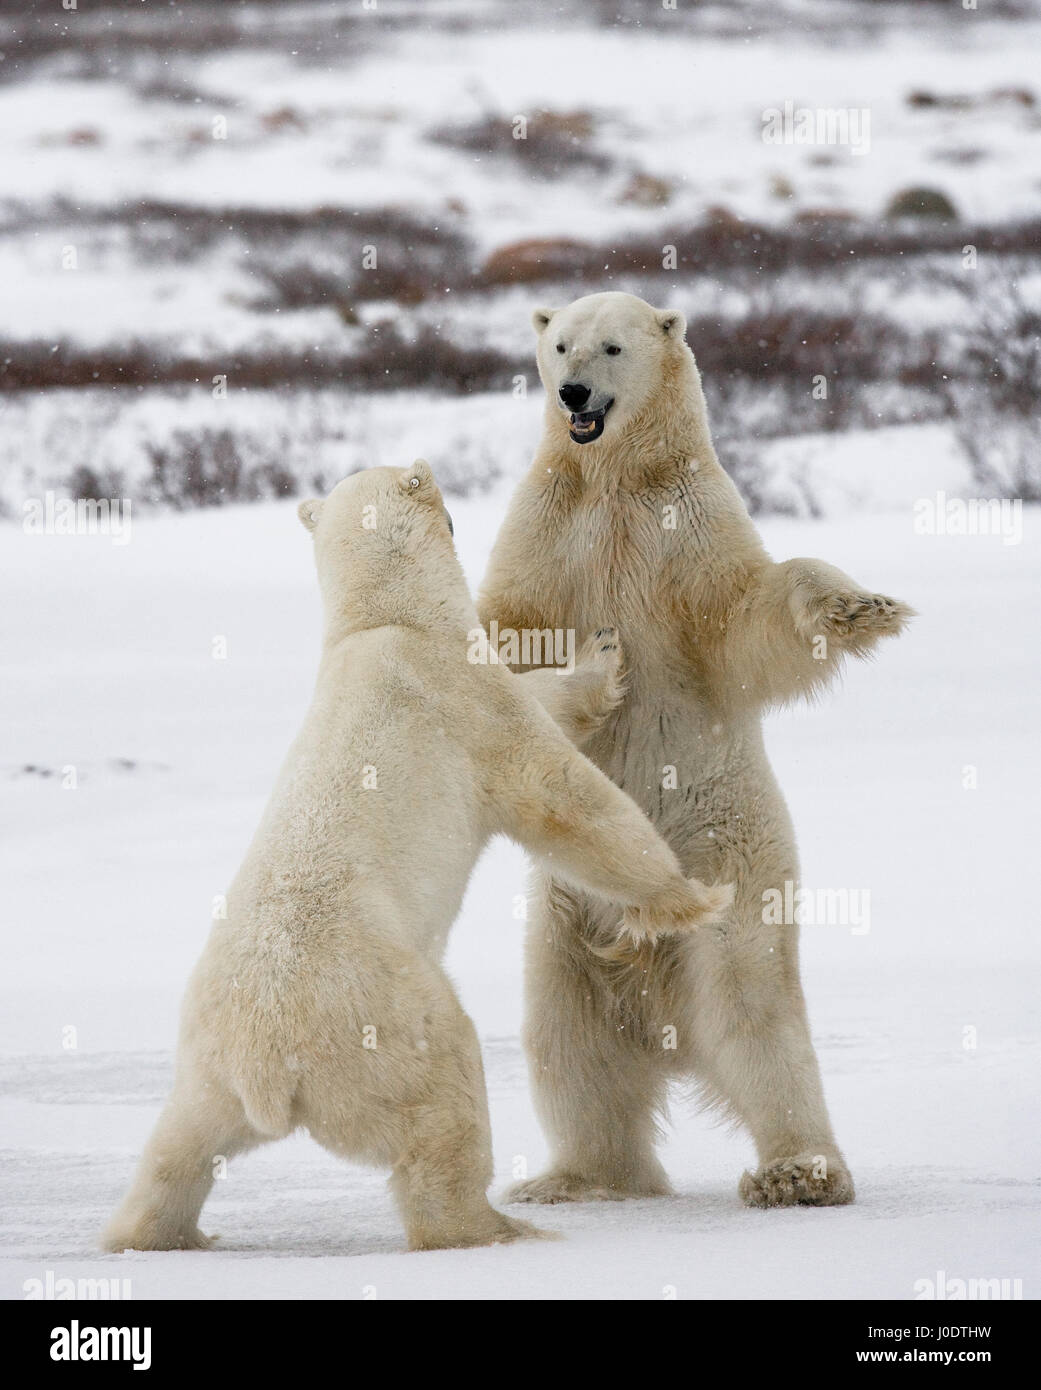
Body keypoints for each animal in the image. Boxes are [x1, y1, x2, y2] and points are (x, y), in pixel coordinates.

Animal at [101, 460, 733, 1256]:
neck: (384, 624)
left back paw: (155, 1233)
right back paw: (493, 1225)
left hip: (207, 1064)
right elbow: (563, 787)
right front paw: (693, 897)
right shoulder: (464, 700)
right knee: (444, 1090)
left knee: (179, 1145)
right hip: (385, 1017)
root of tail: (269, 1072)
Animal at [478, 291, 914, 1209]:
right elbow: (508, 627)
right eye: (559, 344)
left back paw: (797, 1172)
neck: (613, 479)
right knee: (565, 1037)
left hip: (728, 864)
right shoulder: (547, 525)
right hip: (563, 916)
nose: (572, 395)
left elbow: (746, 614)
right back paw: (576, 1178)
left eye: (612, 347)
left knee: (753, 1018)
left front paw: (857, 606)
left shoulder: (685, 524)